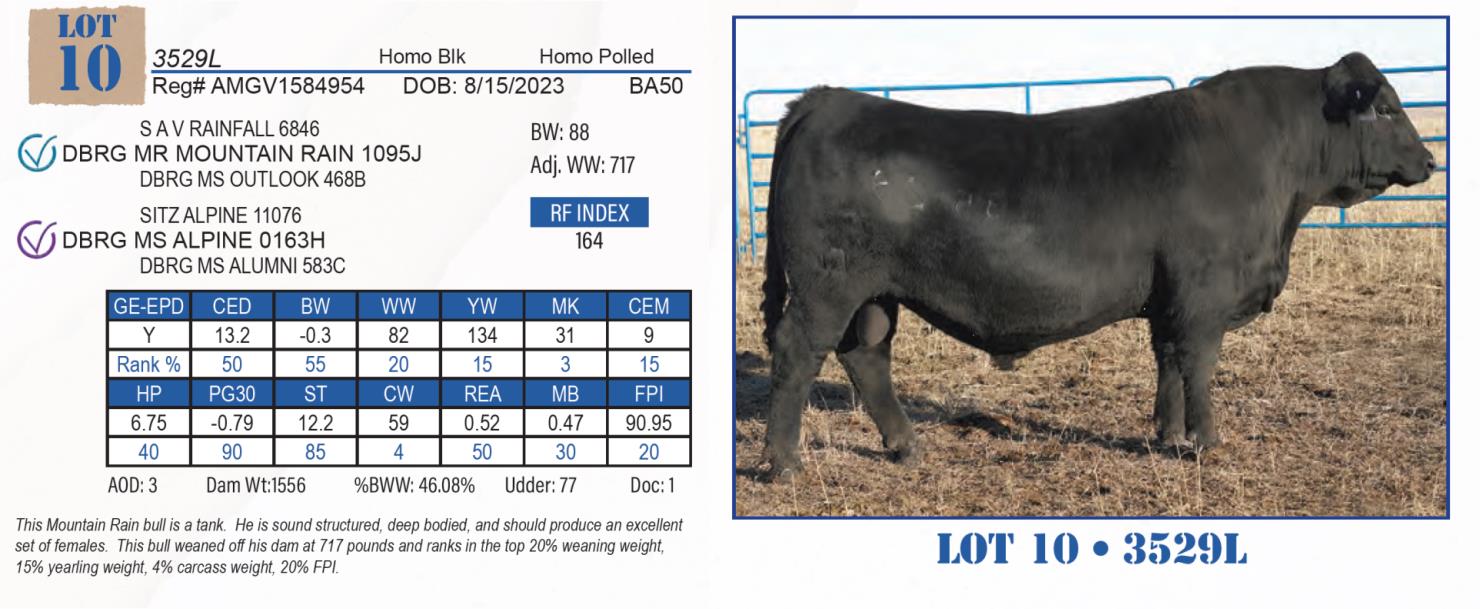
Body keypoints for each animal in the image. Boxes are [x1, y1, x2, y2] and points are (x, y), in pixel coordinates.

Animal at [757, 52, 1436, 481]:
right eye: (1384, 109)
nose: (1429, 161)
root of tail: (828, 101)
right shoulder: (1204, 295)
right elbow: (1199, 365)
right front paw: (1205, 442)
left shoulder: (1170, 300)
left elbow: (1168, 363)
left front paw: (1167, 435)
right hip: (827, 287)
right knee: (798, 351)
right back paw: (783, 463)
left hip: (874, 293)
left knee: (865, 356)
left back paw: (906, 447)